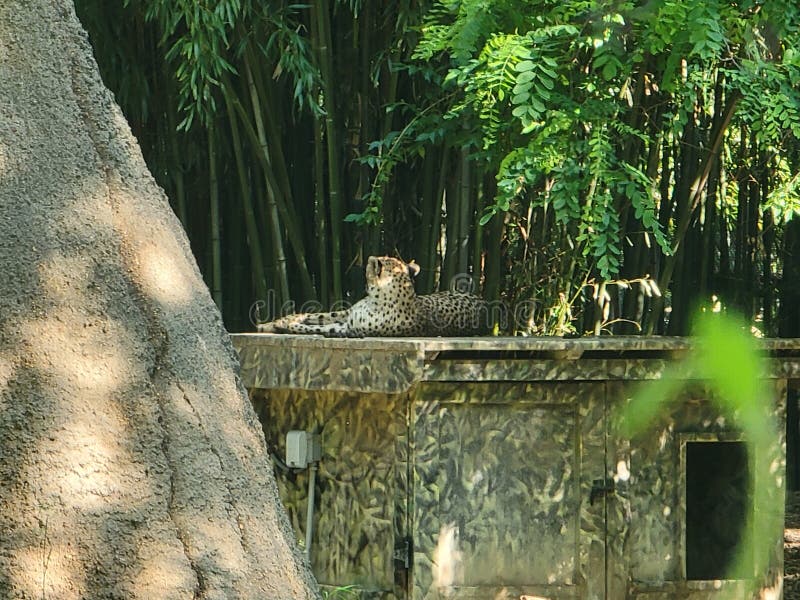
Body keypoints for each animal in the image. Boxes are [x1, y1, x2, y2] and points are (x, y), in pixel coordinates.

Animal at [257, 256, 488, 337]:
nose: (368, 258)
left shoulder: (347, 328)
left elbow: (314, 327)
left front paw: (287, 325)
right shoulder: (347, 314)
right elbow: (317, 315)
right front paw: (277, 322)